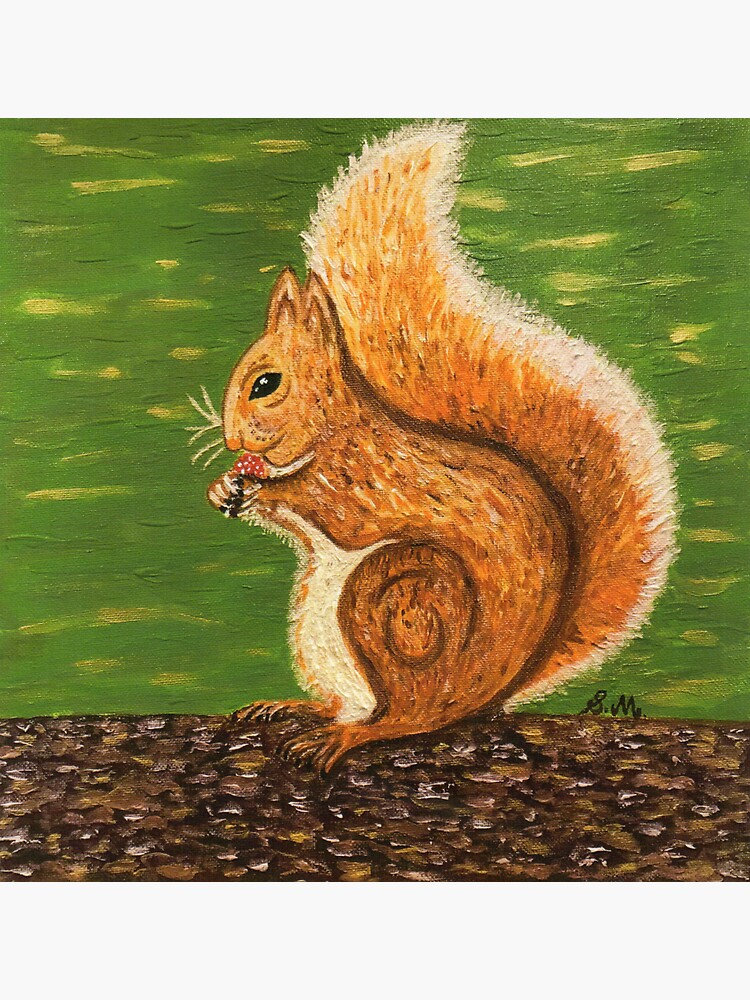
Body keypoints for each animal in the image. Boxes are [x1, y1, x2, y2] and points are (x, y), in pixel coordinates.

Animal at [203, 121, 677, 772]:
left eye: (266, 383)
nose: (230, 438)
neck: (332, 431)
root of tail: (488, 691)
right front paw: (224, 485)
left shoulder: (364, 481)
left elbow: (330, 509)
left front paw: (264, 490)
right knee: (349, 704)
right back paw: (292, 708)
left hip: (397, 596)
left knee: (407, 716)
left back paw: (350, 736)